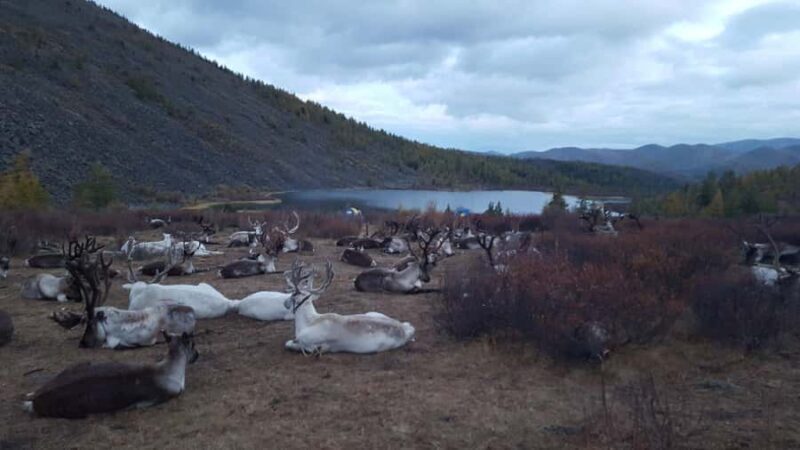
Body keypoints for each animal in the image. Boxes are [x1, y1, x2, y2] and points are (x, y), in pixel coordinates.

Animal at [23, 331, 199, 419]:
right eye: (193, 344)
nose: (198, 355)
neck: (171, 368)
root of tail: (36, 401)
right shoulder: (170, 393)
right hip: (77, 411)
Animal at [284, 261, 415, 354]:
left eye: (292, 295)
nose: (285, 303)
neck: (308, 321)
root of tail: (407, 329)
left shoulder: (309, 344)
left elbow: (289, 344)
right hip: (372, 312)